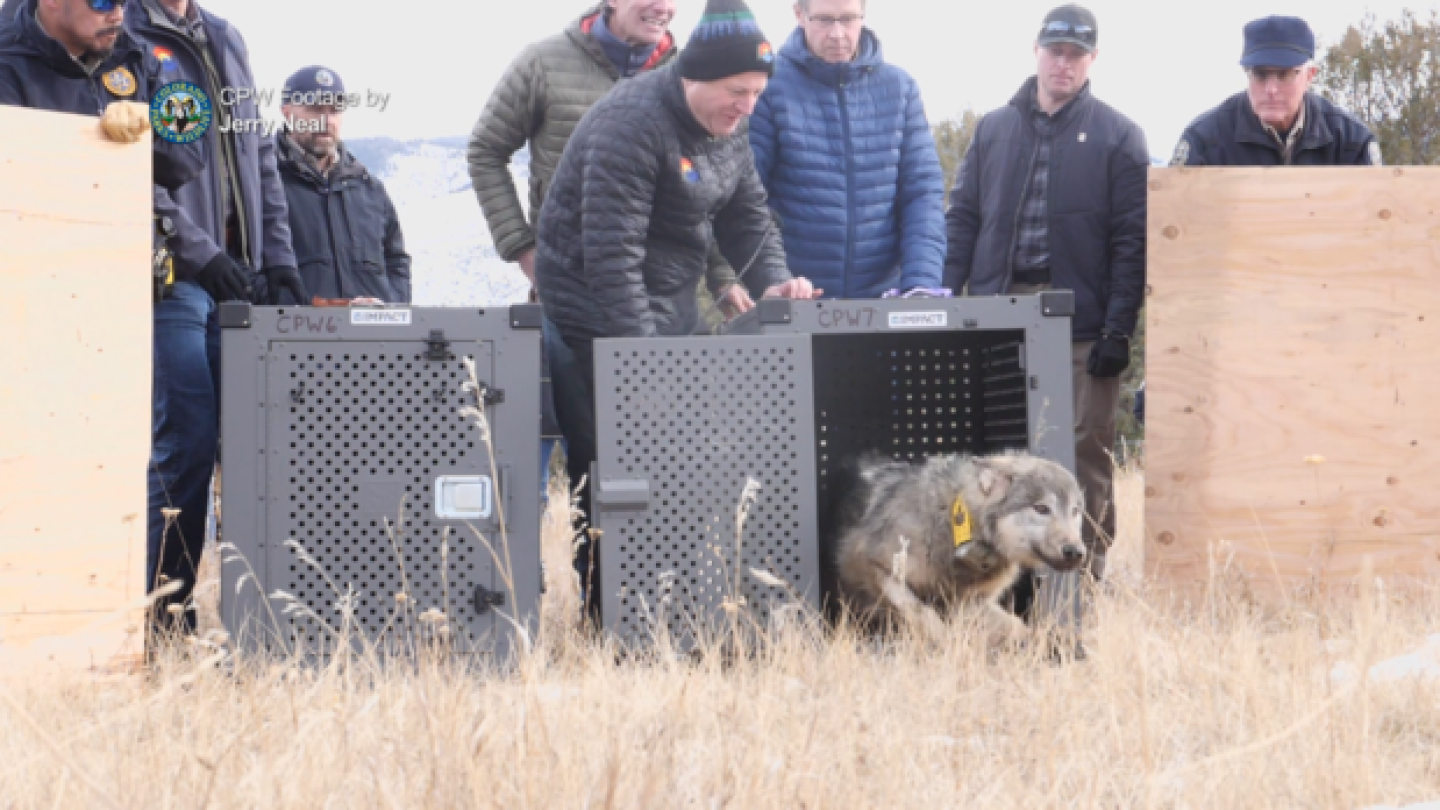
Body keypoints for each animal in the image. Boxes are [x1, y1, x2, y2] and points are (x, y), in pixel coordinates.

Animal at [830, 450, 1086, 643]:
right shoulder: (875, 567)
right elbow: (918, 609)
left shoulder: (971, 600)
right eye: (1041, 508)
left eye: (1075, 511)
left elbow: (1015, 625)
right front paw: (940, 640)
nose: (1075, 552)